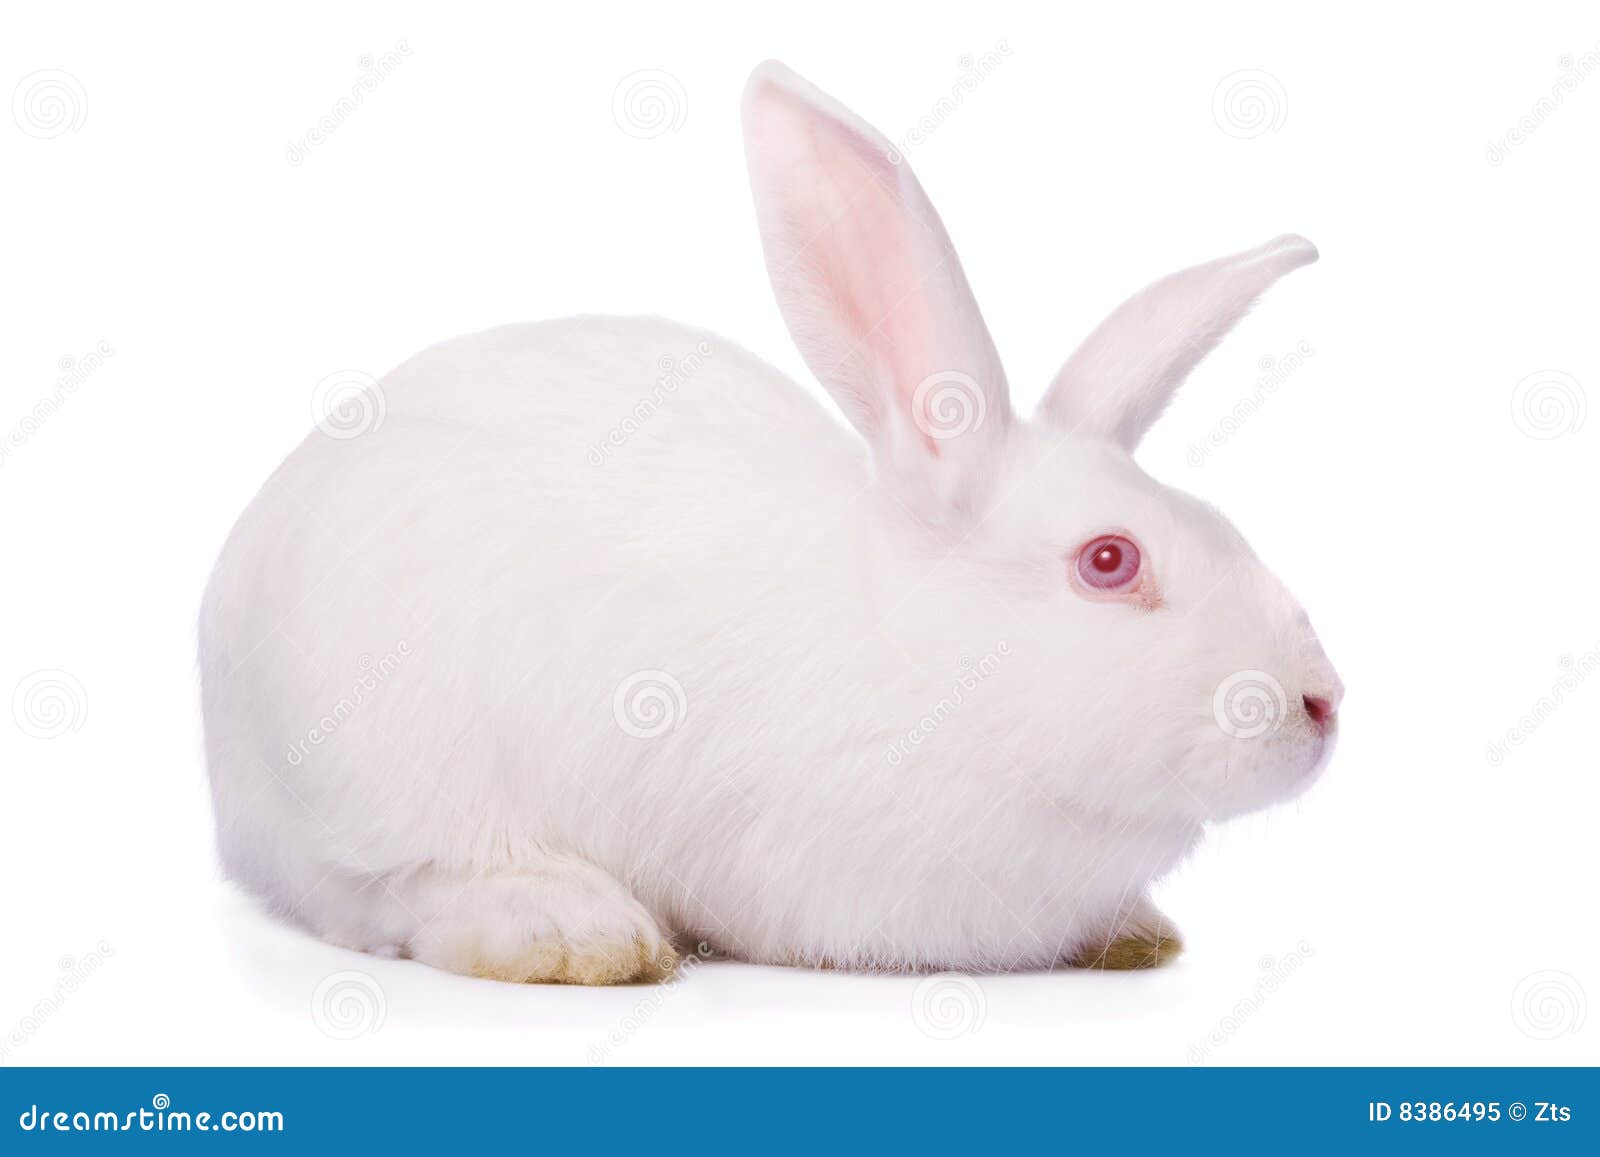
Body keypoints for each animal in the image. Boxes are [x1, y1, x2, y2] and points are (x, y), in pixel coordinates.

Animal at [199, 60, 1341, 984]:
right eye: (1109, 560)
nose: (1320, 702)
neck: (923, 653)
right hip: (381, 753)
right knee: (397, 887)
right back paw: (578, 932)